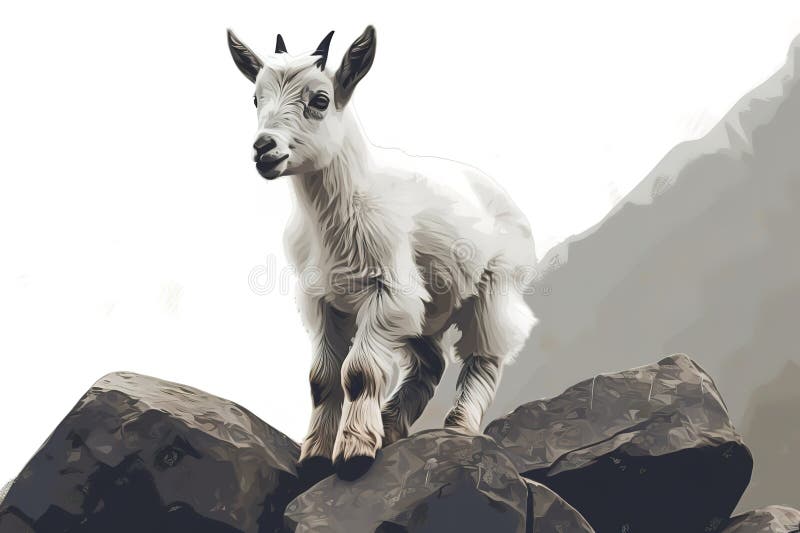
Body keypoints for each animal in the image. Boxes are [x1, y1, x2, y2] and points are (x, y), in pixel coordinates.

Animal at [227, 26, 537, 482]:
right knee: (430, 365)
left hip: (495, 286)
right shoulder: (324, 300)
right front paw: (315, 457)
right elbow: (321, 379)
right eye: (255, 98)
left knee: (484, 355)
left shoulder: (386, 289)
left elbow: (358, 373)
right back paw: (390, 427)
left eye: (320, 100)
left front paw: (354, 454)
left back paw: (458, 427)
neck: (343, 208)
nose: (264, 148)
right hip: (427, 308)